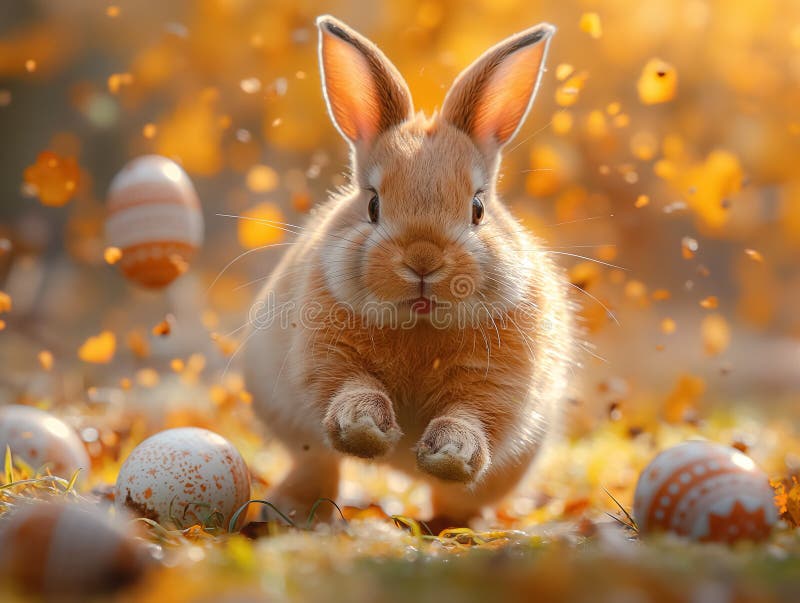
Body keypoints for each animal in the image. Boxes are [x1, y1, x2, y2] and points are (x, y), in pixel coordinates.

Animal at [244, 15, 575, 526]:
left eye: (478, 208)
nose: (423, 259)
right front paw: (364, 428)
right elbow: (350, 387)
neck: (419, 322)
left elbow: (473, 416)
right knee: (318, 465)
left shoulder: (497, 383)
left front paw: (451, 453)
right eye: (373, 205)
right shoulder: (325, 355)